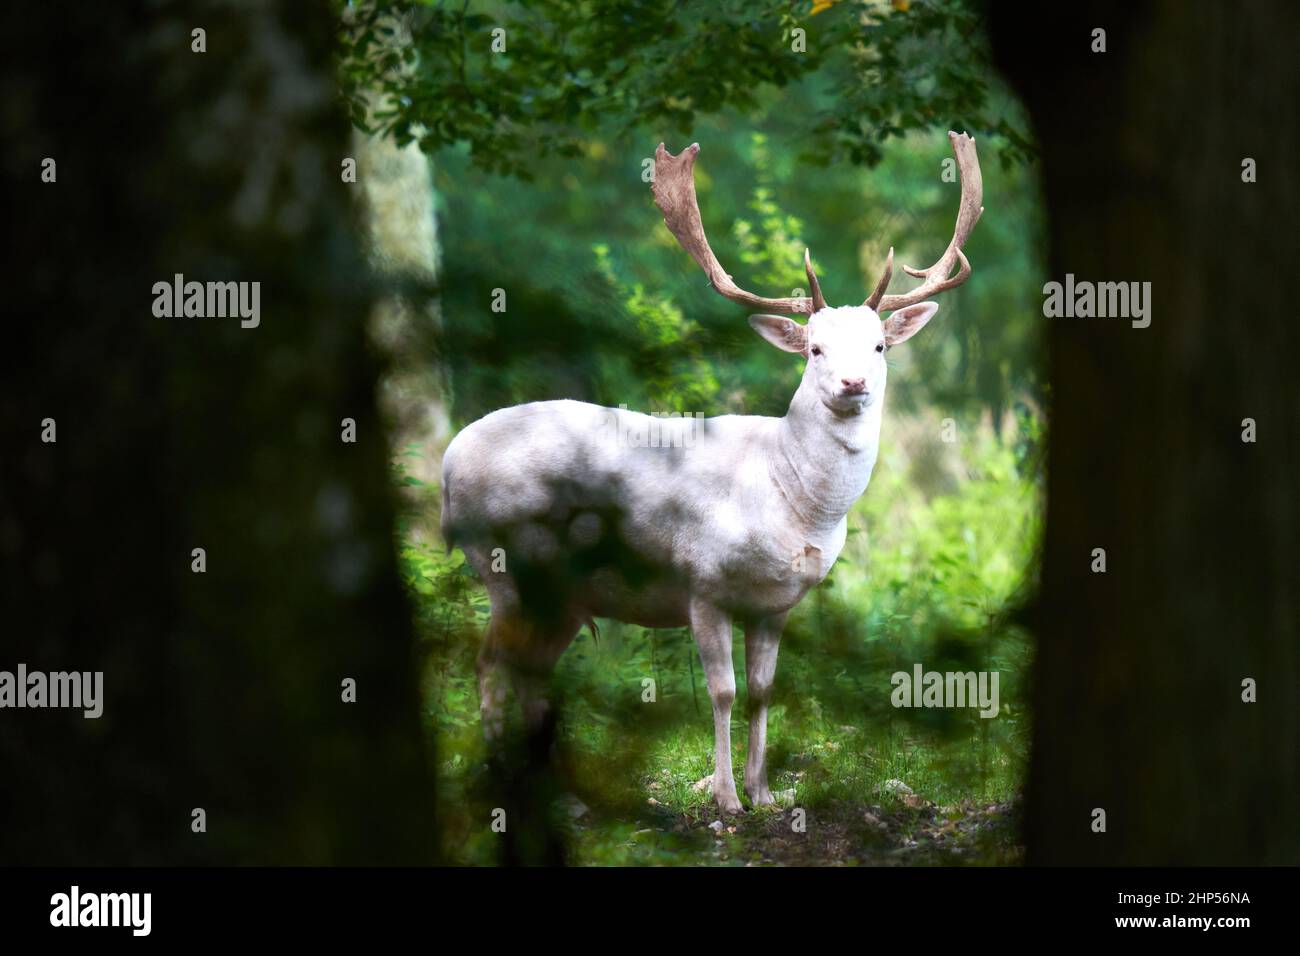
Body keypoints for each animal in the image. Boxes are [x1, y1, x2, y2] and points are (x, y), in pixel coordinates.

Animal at [440, 131, 983, 814]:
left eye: (879, 346)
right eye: (814, 348)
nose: (853, 383)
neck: (792, 501)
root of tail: (447, 463)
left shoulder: (777, 603)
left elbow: (762, 691)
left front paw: (765, 792)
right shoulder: (702, 581)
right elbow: (721, 691)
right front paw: (725, 799)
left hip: (559, 593)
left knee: (531, 672)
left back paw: (564, 797)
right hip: (505, 565)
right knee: (490, 665)